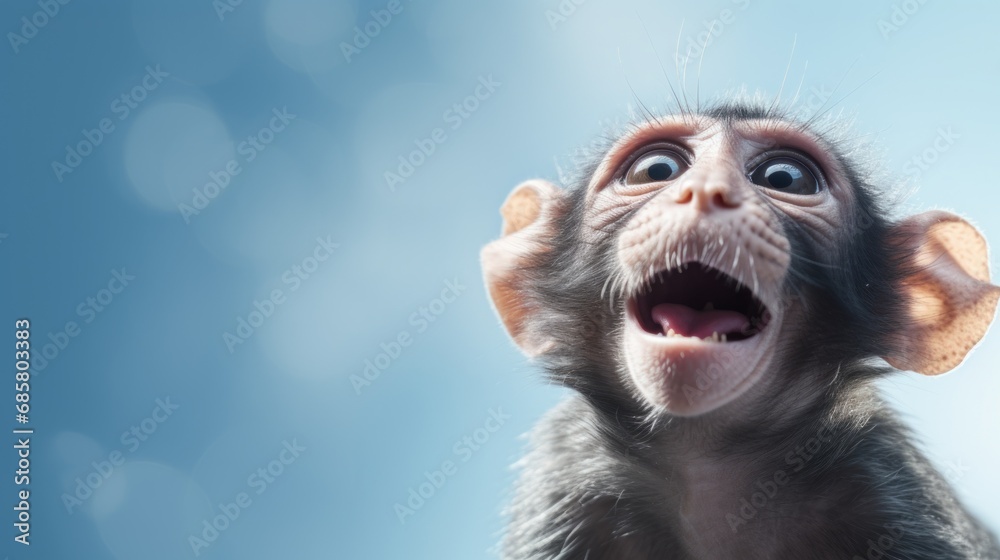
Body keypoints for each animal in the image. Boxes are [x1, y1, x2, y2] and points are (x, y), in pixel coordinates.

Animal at [481, 96, 1000, 559]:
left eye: (784, 177)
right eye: (656, 169)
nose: (706, 192)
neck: (707, 467)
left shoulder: (893, 487)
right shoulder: (565, 479)